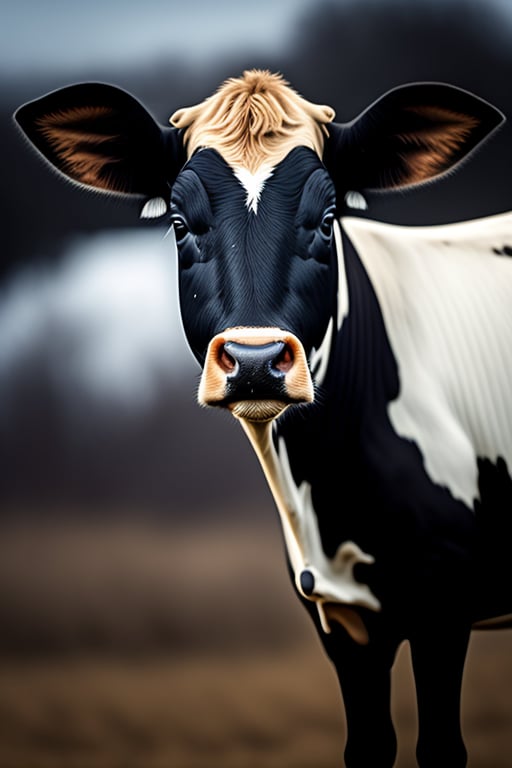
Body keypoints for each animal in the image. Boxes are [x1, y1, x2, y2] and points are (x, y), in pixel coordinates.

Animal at [14, 69, 512, 766]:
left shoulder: (443, 601)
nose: (255, 360)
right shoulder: (343, 619)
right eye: (178, 221)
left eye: (328, 218)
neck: (325, 496)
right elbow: (369, 744)